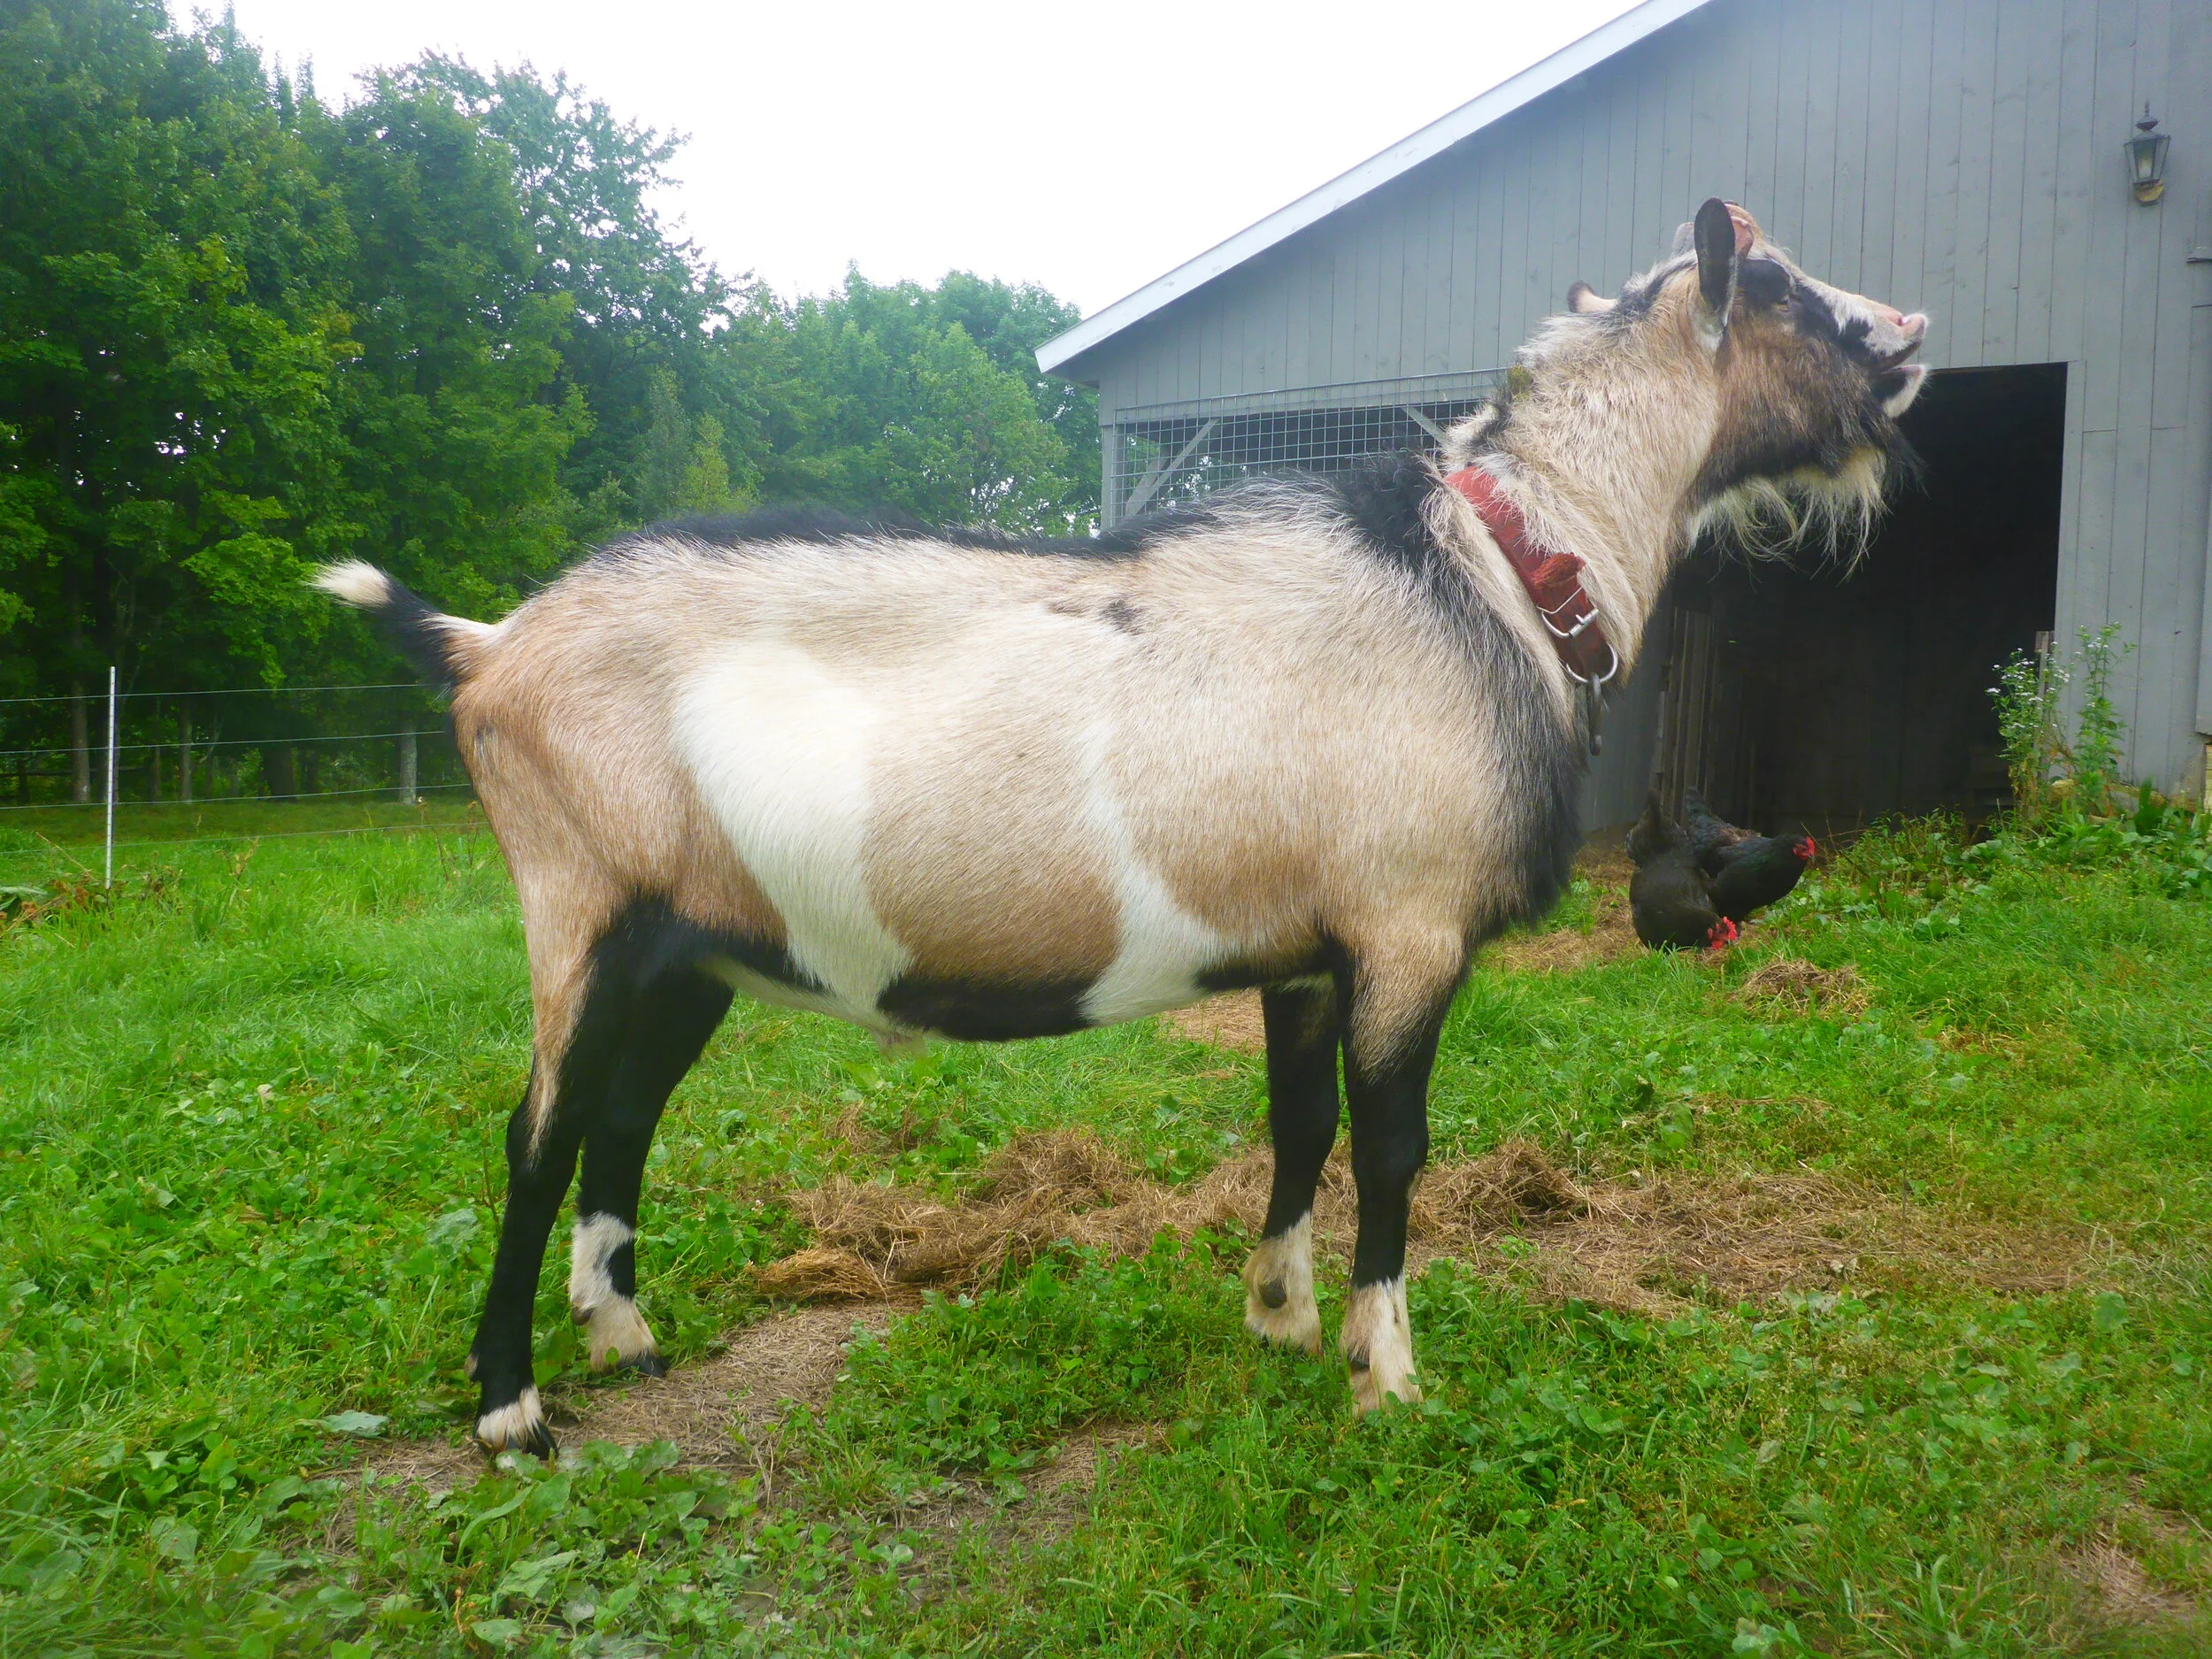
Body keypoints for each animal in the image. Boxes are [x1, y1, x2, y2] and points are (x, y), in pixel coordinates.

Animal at [317, 199, 1927, 1455]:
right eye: (1779, 287)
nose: (1910, 333)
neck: (1492, 574)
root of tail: (483, 646)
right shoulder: (1405, 928)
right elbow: (1394, 1145)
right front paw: (1388, 1375)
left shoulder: (1307, 945)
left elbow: (1299, 1123)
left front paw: (1278, 1319)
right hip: (581, 903)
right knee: (538, 1131)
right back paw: (512, 1411)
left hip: (692, 942)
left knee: (621, 1116)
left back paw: (624, 1336)